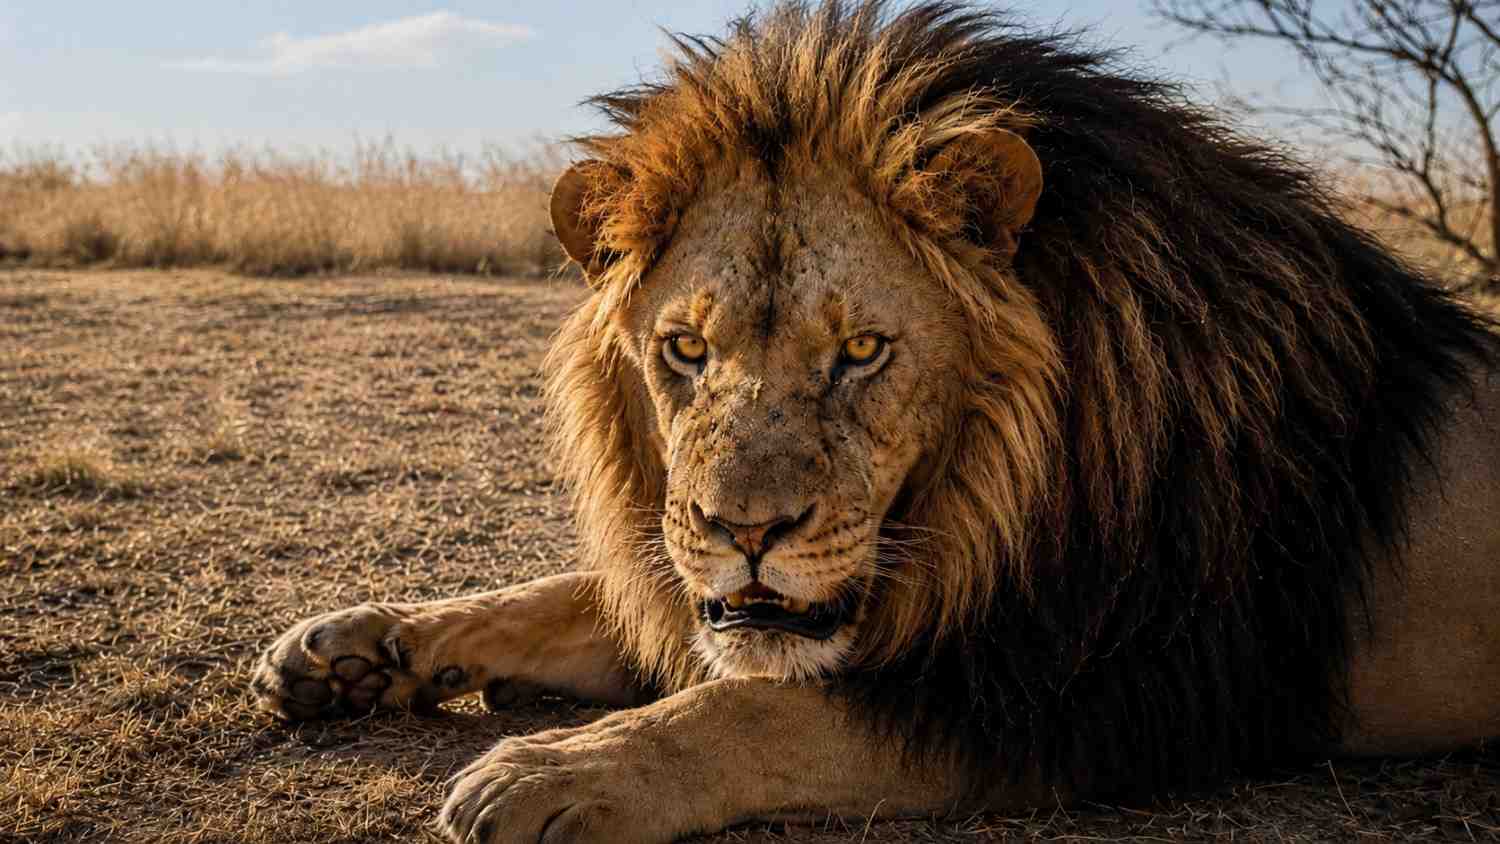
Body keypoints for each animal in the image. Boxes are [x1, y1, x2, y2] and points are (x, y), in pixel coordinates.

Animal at [250, 2, 1500, 841]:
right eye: (686, 350)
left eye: (860, 351)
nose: (748, 533)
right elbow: (575, 595)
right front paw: (356, 647)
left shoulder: (1079, 691)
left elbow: (754, 711)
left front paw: (553, 774)